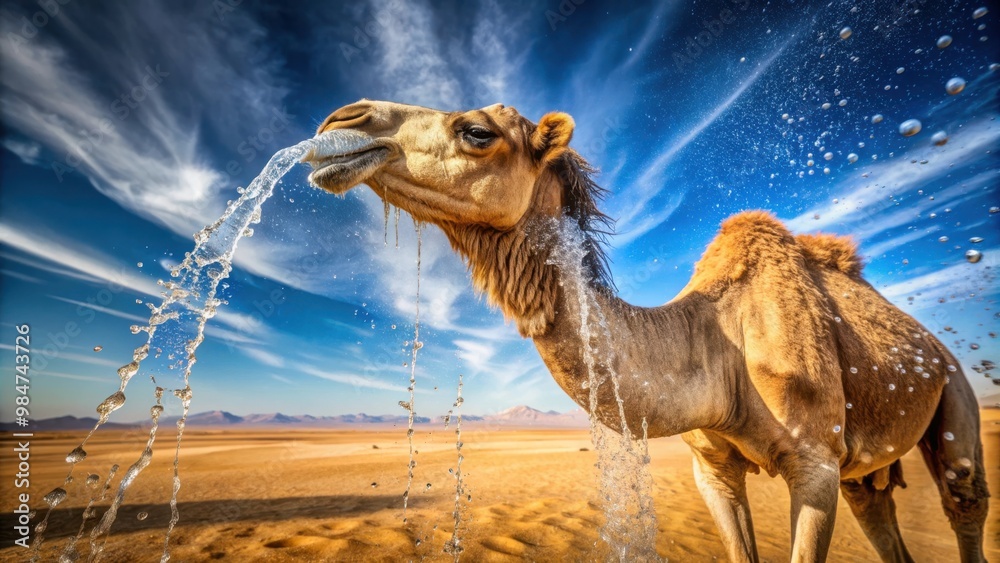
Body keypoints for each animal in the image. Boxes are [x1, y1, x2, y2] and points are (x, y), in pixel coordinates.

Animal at [302, 100, 990, 562]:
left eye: (476, 131)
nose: (340, 119)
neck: (718, 343)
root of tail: (935, 345)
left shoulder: (815, 462)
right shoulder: (712, 468)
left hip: (954, 391)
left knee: (964, 497)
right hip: (865, 466)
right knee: (876, 504)